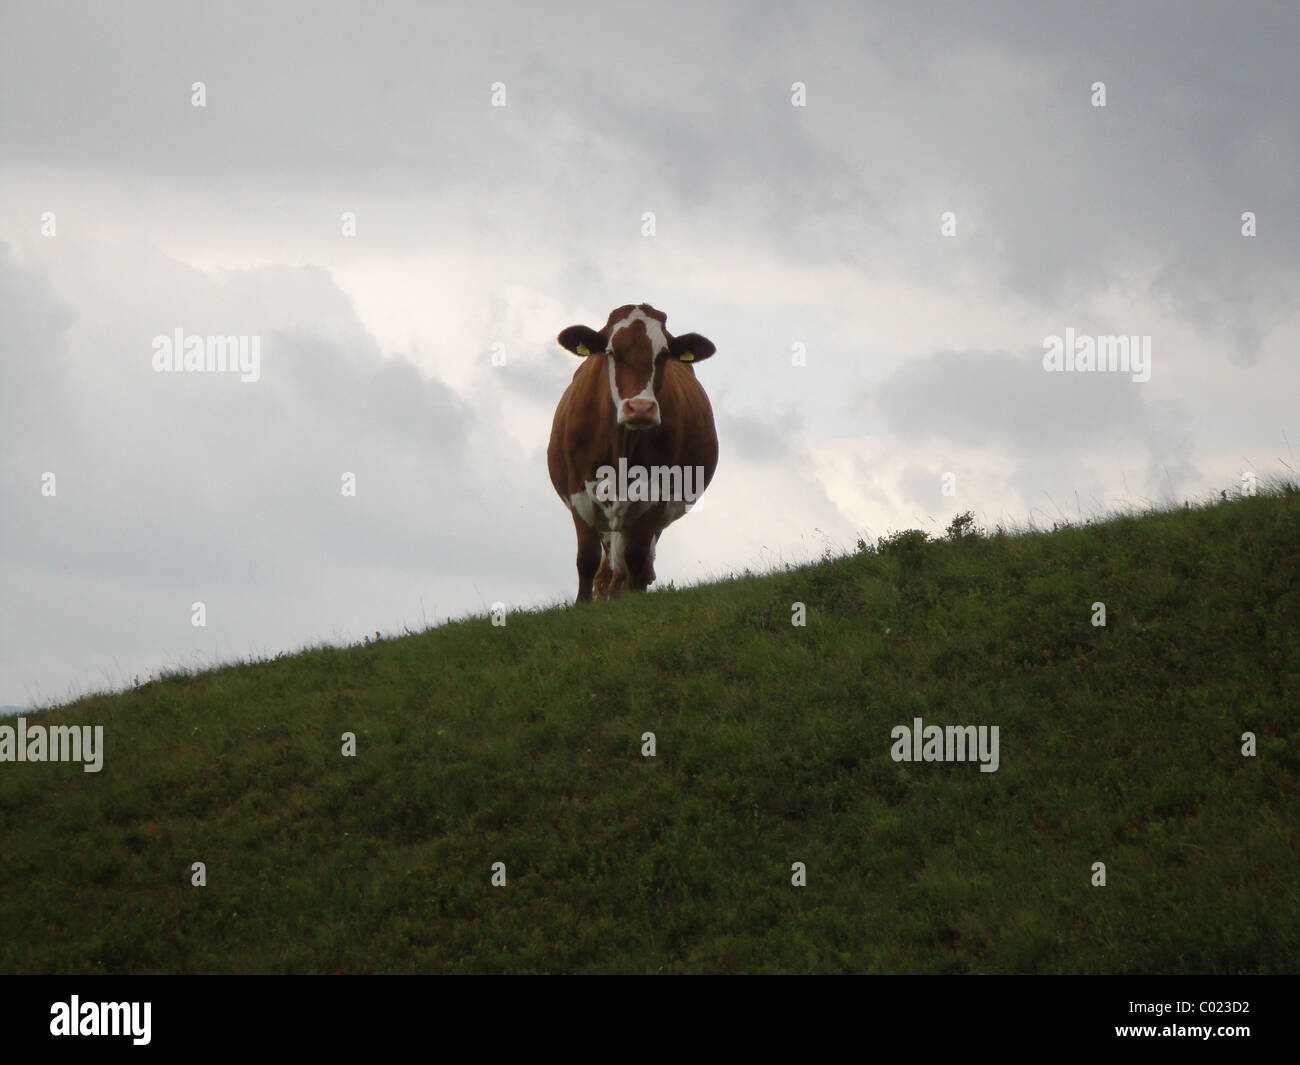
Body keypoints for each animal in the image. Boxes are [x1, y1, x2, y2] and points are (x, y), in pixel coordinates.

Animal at [547, 303, 718, 603]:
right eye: (611, 352)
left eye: (663, 355)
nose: (640, 408)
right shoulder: (579, 493)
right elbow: (587, 559)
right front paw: (583, 605)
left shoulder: (654, 496)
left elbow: (637, 558)